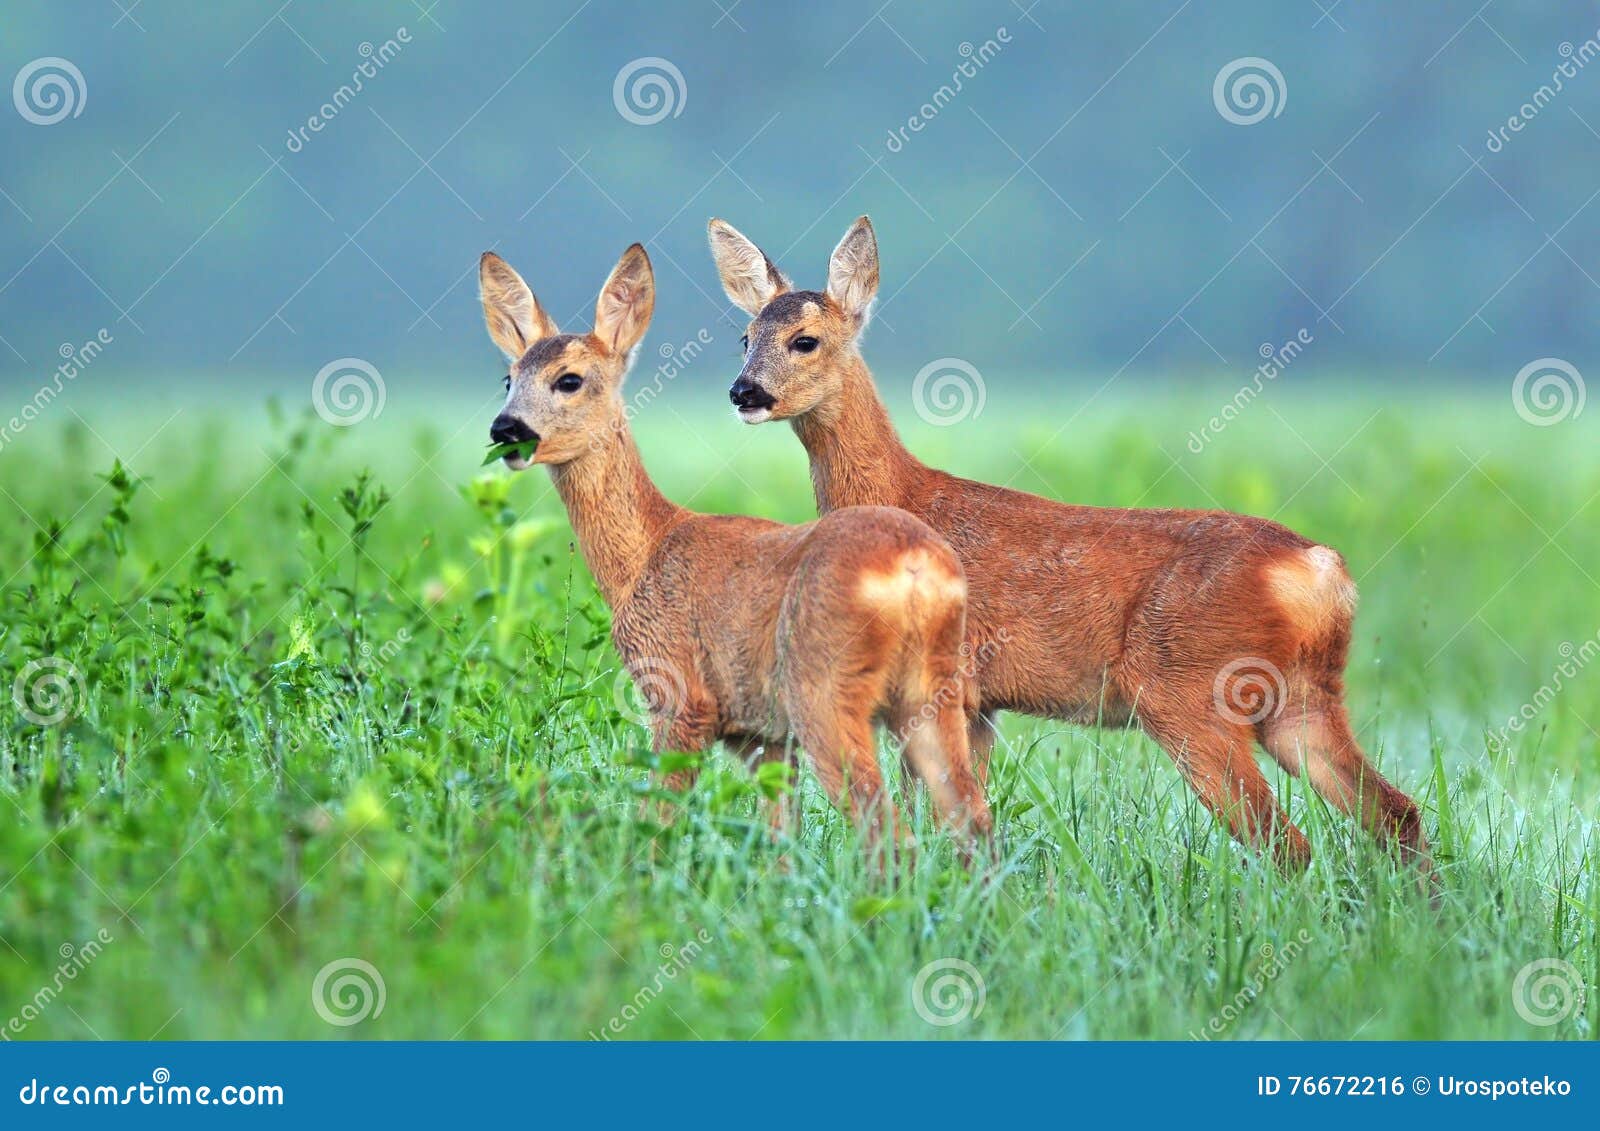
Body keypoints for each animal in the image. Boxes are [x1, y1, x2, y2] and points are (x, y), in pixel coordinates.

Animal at [477, 242, 990, 865]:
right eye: (508, 377)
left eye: (568, 379)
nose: (506, 429)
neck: (644, 556)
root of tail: (915, 571)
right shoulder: (763, 736)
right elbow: (779, 841)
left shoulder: (680, 695)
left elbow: (657, 823)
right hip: (934, 690)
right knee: (972, 816)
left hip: (825, 693)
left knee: (891, 831)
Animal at [707, 215, 1431, 877]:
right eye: (744, 336)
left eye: (805, 340)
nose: (744, 391)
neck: (903, 494)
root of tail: (1323, 572)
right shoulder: (982, 702)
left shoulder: (953, 684)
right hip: (1303, 696)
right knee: (1396, 812)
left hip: (1190, 689)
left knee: (1286, 843)